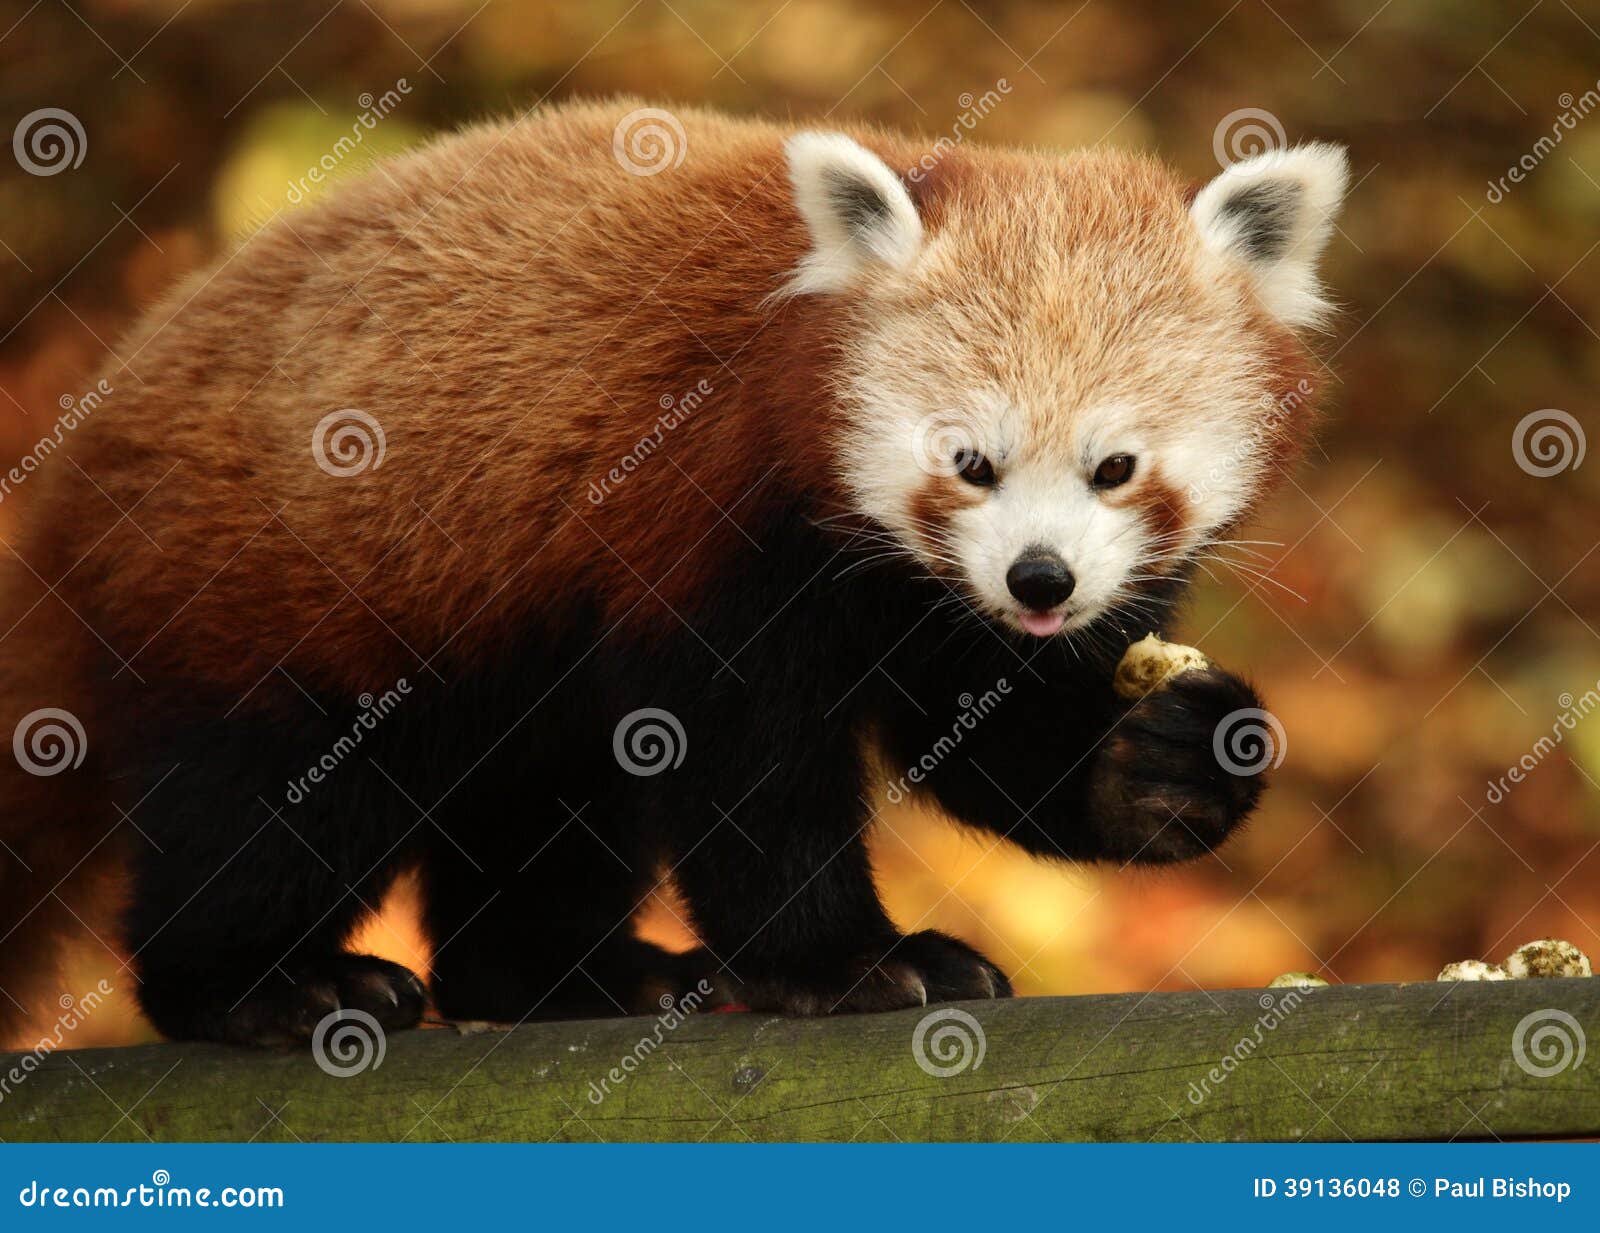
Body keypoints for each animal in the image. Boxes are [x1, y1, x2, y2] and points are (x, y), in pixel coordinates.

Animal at [0, 100, 1346, 1045]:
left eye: (1115, 468)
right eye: (971, 462)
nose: (1039, 580)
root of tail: (78, 464)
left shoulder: (948, 604)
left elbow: (985, 734)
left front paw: (1163, 759)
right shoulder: (710, 515)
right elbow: (744, 757)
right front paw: (843, 963)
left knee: (540, 798)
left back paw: (570, 974)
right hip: (266, 592)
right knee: (266, 803)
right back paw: (263, 987)